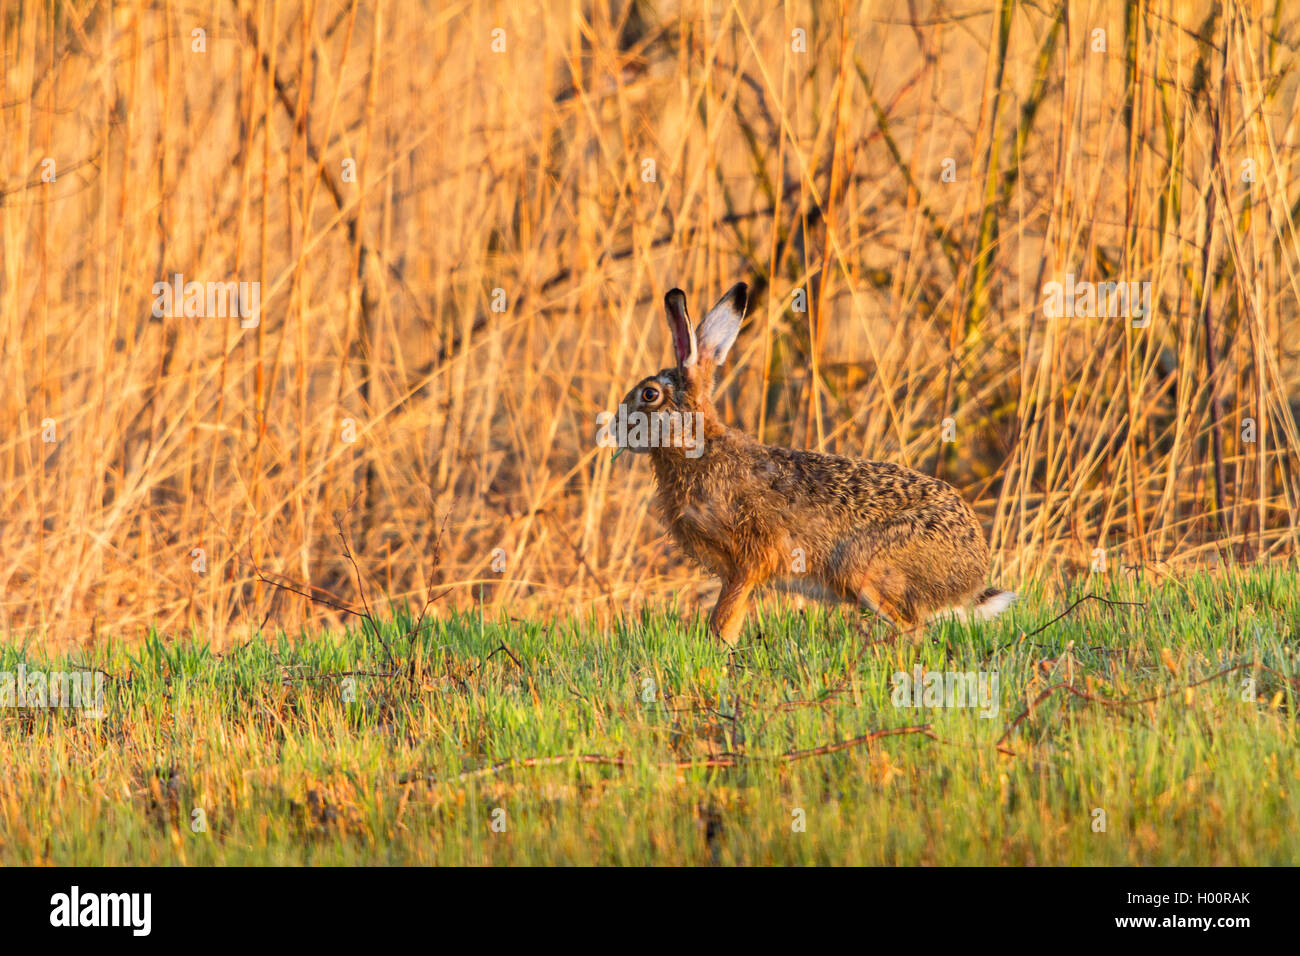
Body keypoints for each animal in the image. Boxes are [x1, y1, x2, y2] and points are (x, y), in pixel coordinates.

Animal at [615, 281, 1016, 645]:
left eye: (649, 394)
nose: (614, 430)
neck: (697, 446)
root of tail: (971, 572)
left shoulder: (748, 562)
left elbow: (725, 618)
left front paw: (720, 652)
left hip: (863, 568)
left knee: (910, 628)